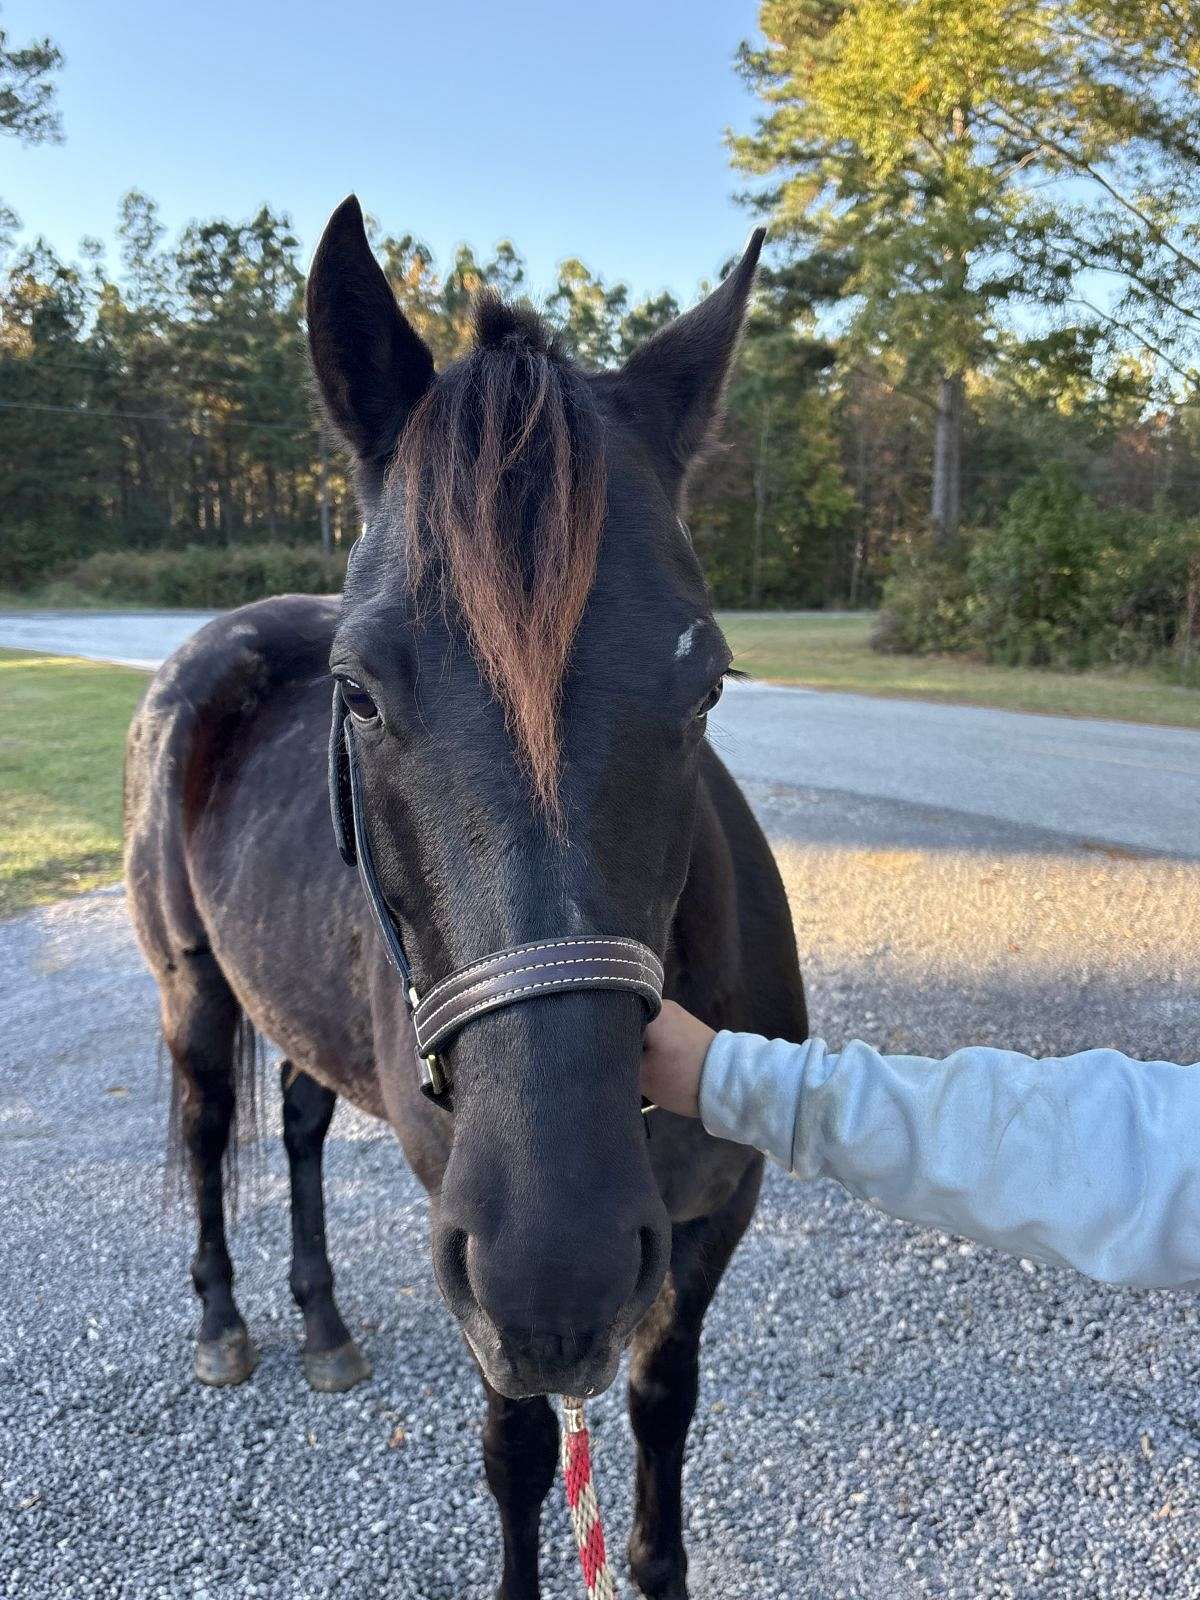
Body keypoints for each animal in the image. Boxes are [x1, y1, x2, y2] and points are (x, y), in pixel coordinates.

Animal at [124, 195, 807, 1600]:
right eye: (359, 690)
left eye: (708, 683)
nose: (563, 1266)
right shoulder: (479, 1268)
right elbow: (520, 1456)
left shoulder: (710, 1219)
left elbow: (663, 1406)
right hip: (192, 989)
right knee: (212, 1134)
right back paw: (225, 1320)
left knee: (300, 1131)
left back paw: (323, 1319)